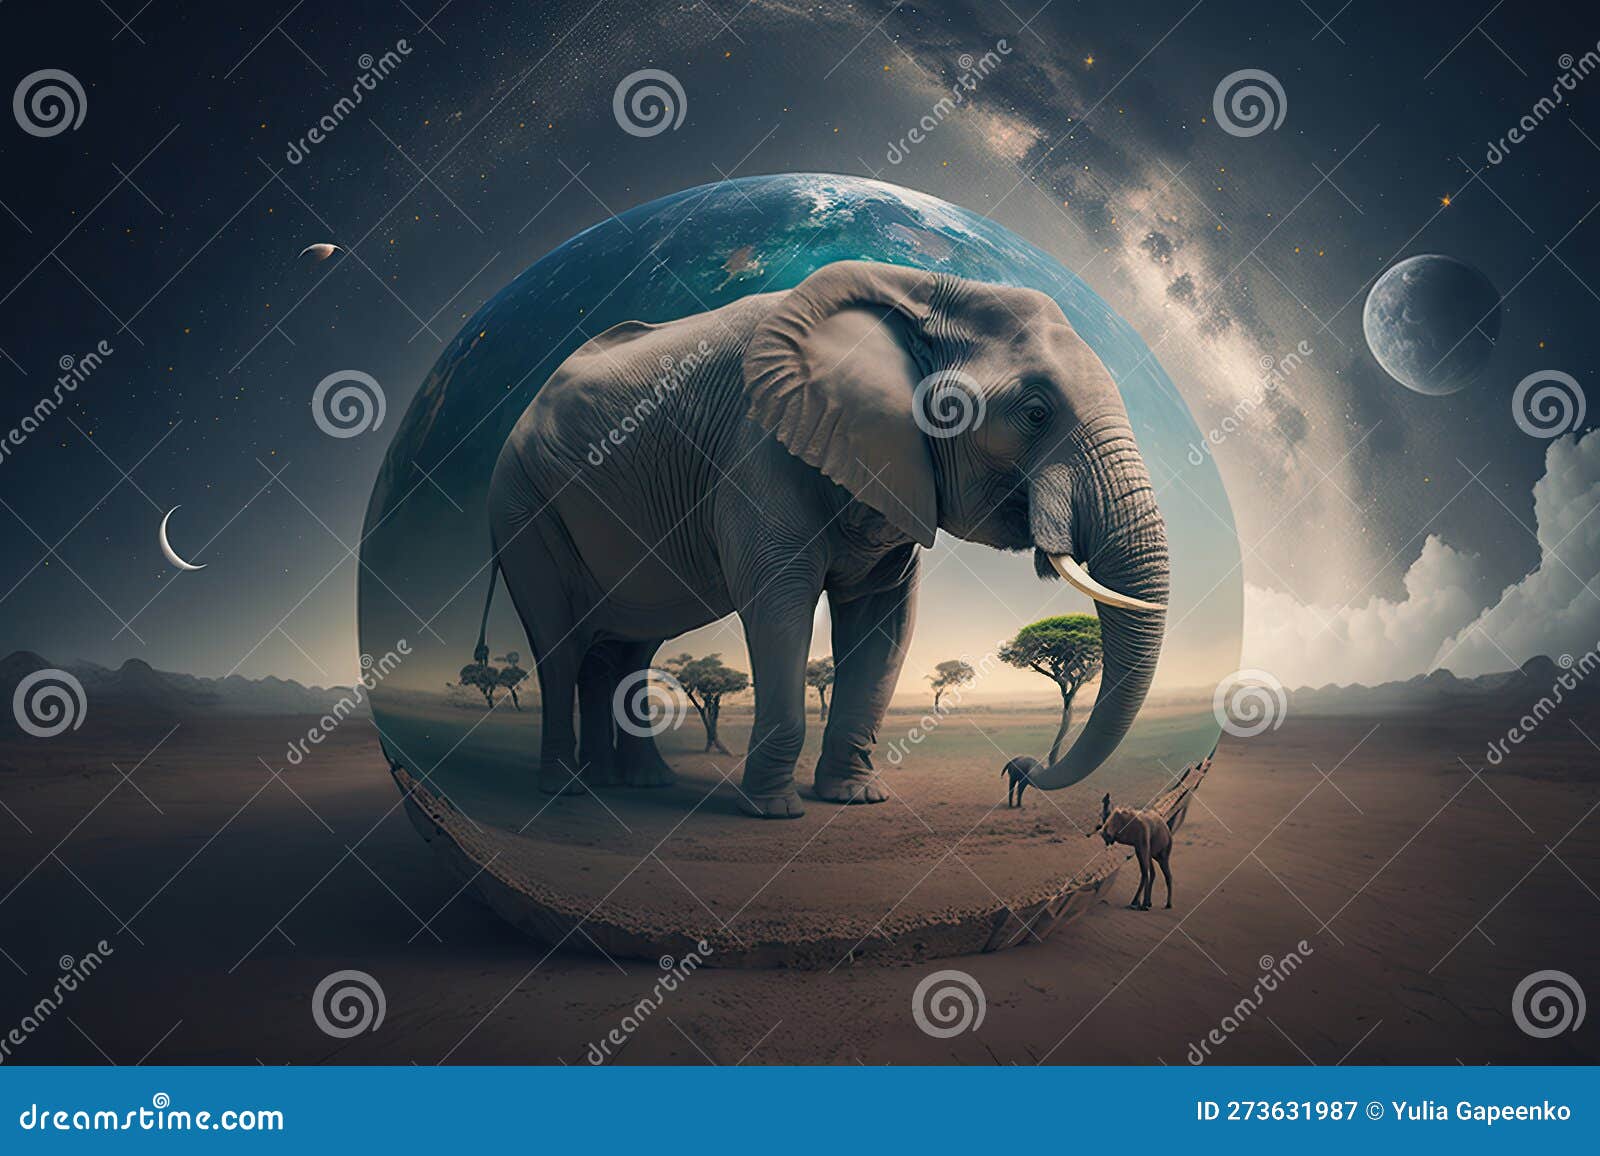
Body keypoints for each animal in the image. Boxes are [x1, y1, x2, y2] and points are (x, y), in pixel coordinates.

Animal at [473, 260, 1169, 819]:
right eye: (1034, 412)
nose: (1028, 766)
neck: (925, 293)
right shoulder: (759, 443)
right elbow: (780, 601)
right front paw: (773, 812)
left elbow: (884, 619)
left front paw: (855, 798)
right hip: (520, 502)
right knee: (560, 645)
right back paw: (568, 788)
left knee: (629, 647)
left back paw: (636, 784)